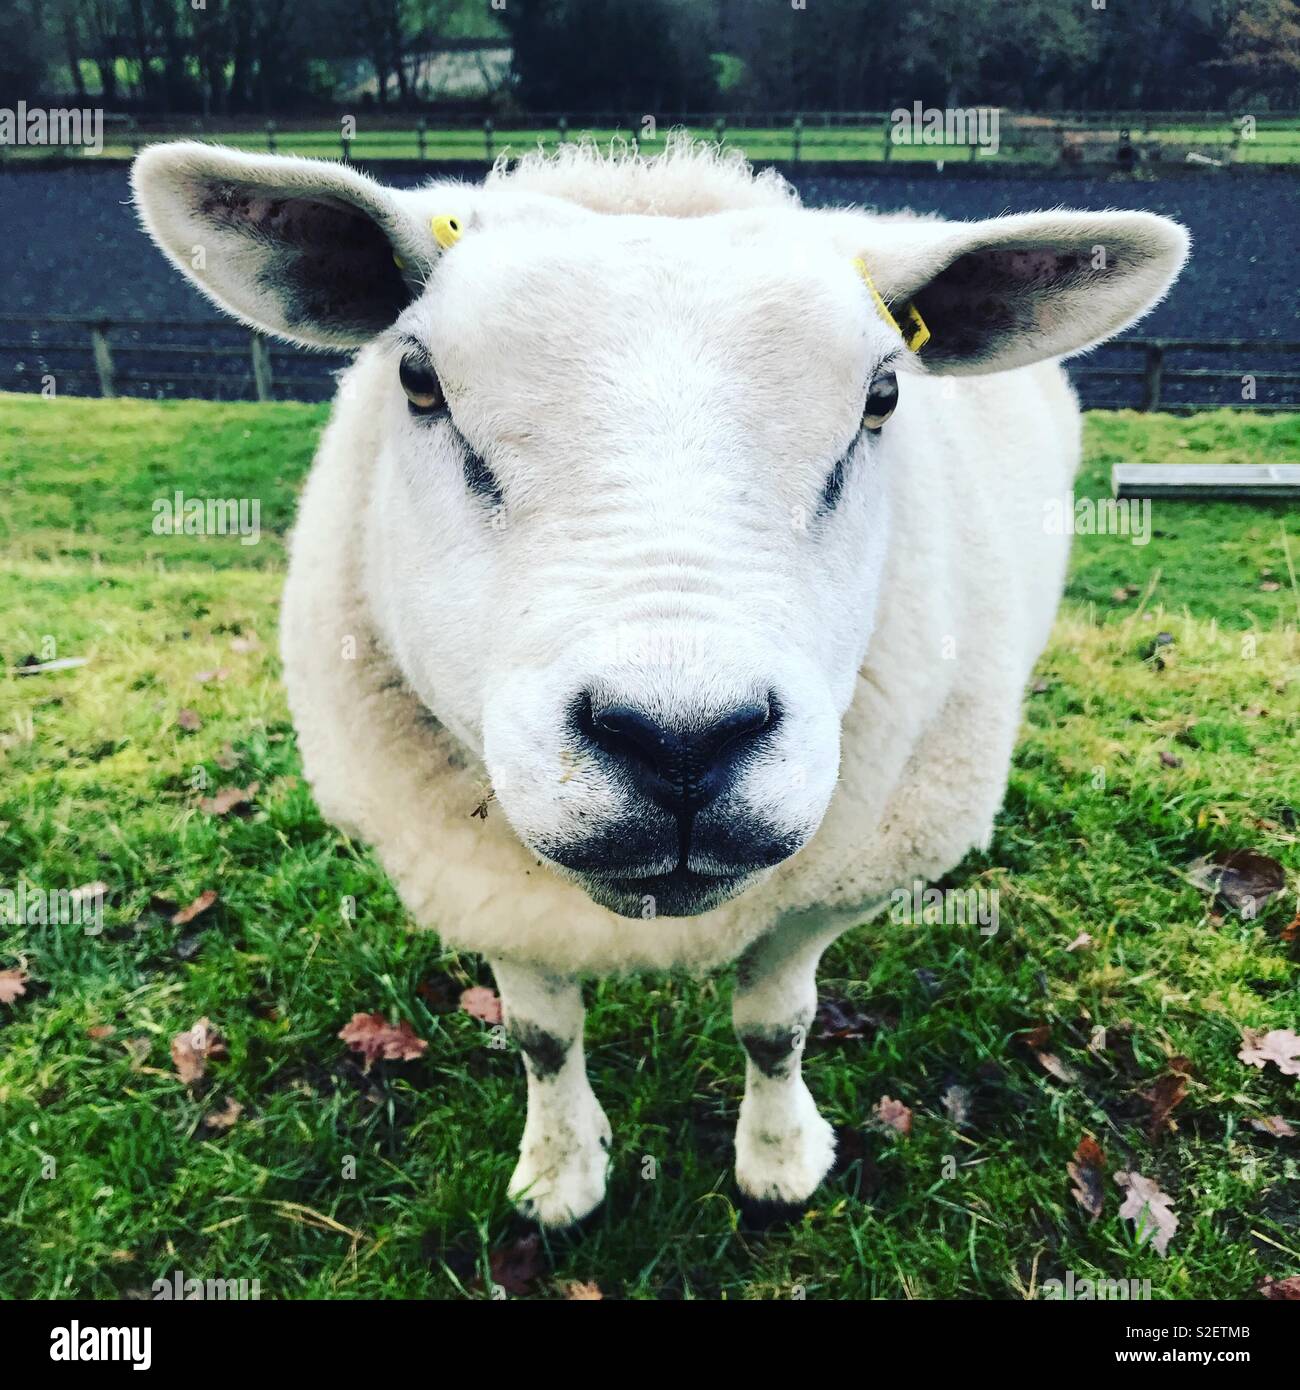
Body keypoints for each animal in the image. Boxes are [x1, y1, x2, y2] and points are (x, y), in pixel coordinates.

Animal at [132, 136, 1188, 1229]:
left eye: (882, 399)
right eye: (419, 382)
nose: (681, 741)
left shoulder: (826, 889)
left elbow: (776, 1024)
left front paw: (778, 1160)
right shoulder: (479, 885)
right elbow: (542, 1038)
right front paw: (562, 1174)